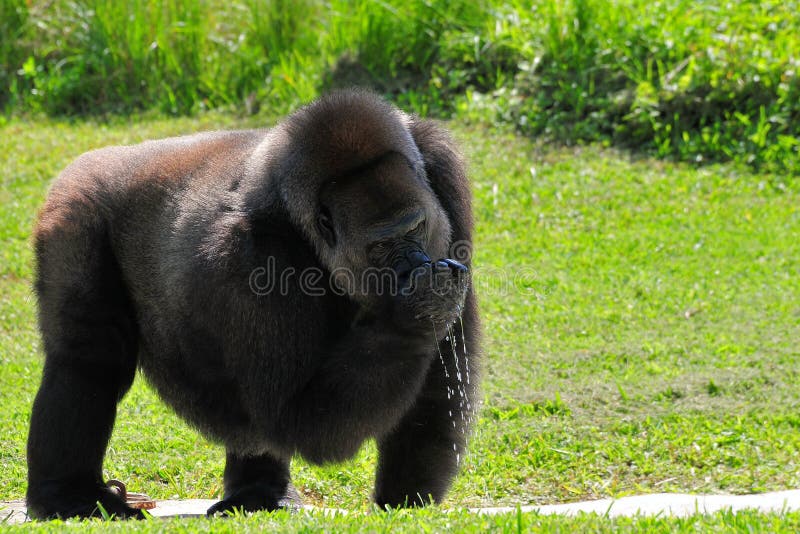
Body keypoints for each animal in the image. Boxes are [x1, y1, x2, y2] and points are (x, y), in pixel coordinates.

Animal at [25, 89, 480, 520]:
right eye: (382, 246)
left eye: (416, 228)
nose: (415, 265)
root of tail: (93, 159)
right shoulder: (249, 250)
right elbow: (298, 415)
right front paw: (416, 310)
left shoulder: (441, 167)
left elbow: (436, 379)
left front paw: (405, 499)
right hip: (73, 212)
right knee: (88, 358)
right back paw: (69, 495)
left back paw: (259, 493)